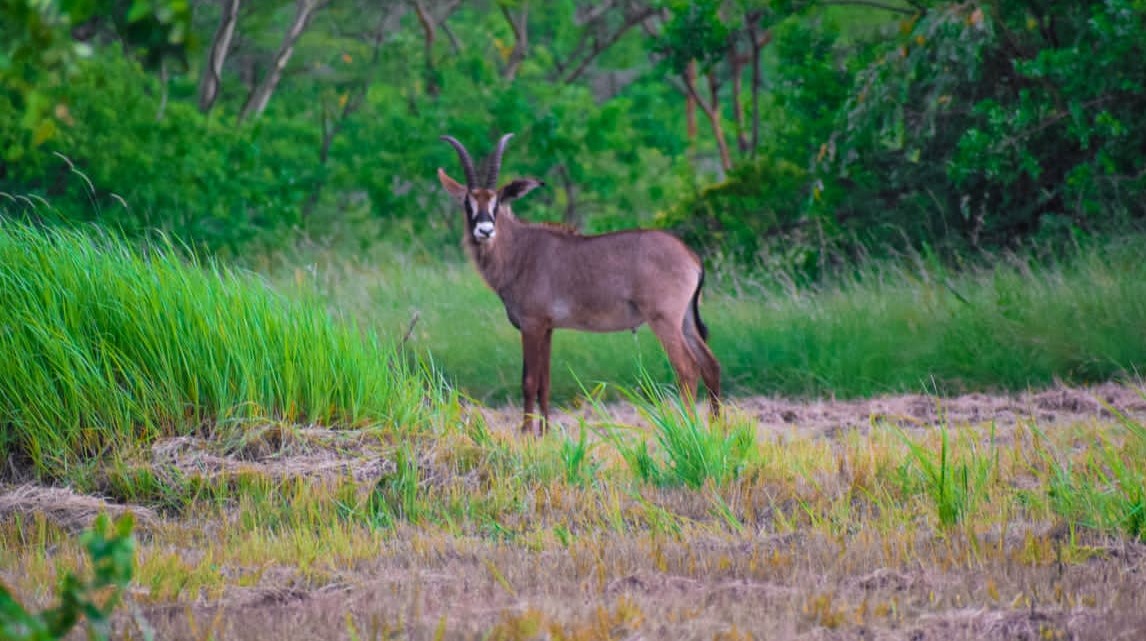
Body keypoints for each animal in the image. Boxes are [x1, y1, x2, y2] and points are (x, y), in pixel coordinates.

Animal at [437, 133, 721, 435]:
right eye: (467, 203)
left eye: (497, 202)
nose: (485, 230)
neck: (519, 249)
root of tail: (691, 257)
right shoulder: (548, 329)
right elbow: (545, 383)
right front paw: (545, 434)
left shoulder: (531, 325)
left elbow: (528, 382)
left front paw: (526, 434)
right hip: (686, 320)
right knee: (710, 365)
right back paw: (717, 427)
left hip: (665, 320)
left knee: (687, 368)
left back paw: (688, 428)